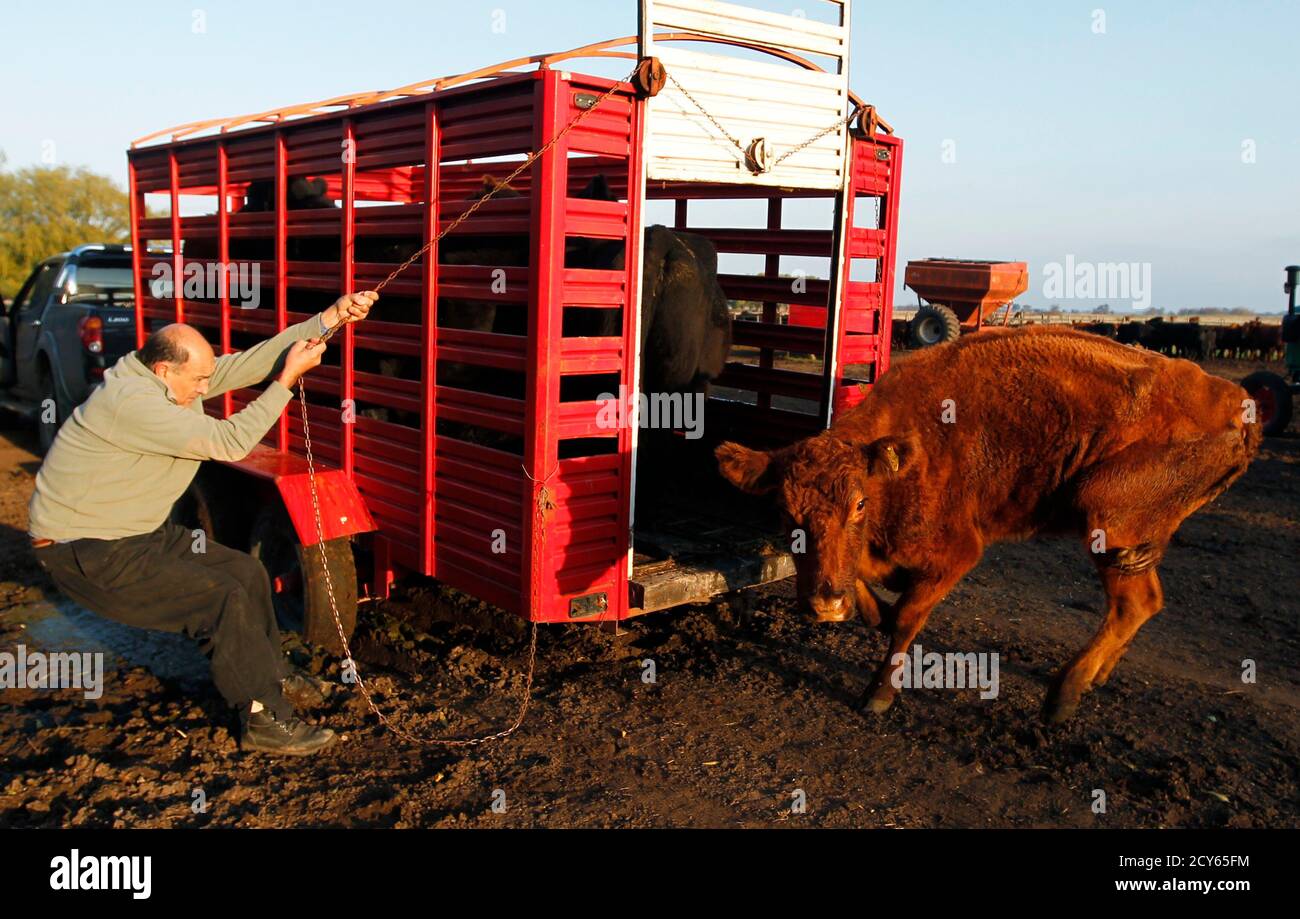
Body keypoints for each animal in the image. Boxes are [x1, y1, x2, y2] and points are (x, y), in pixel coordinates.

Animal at [716, 326, 1261, 724]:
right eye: (785, 511)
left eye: (859, 505)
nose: (823, 604)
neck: (904, 461)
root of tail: (1235, 401)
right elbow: (871, 597)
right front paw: (866, 612)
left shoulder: (957, 554)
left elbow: (906, 619)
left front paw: (878, 694)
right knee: (1142, 602)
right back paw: (1093, 678)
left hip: (1105, 517)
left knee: (1135, 604)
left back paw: (1063, 694)